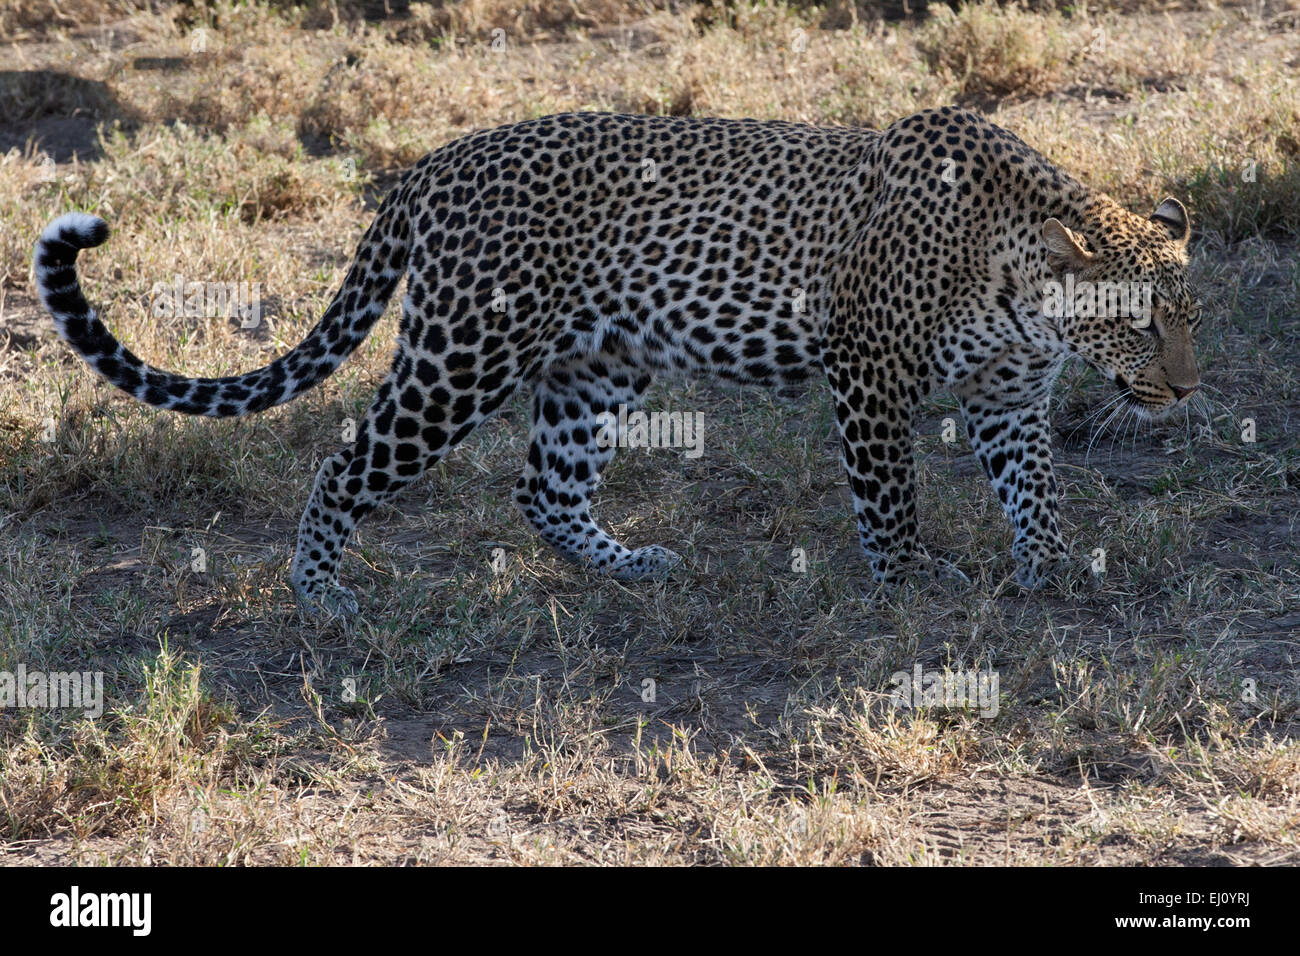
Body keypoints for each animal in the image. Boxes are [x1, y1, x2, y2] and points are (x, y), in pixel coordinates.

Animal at [34, 106, 1202, 619]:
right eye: (1142, 325)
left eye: (1188, 318)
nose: (1188, 389)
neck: (1023, 287)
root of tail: (428, 165)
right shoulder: (867, 376)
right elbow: (892, 500)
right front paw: (912, 585)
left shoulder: (1009, 398)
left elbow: (1035, 488)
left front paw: (1052, 568)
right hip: (463, 356)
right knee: (344, 461)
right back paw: (319, 592)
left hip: (597, 364)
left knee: (543, 487)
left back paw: (630, 564)